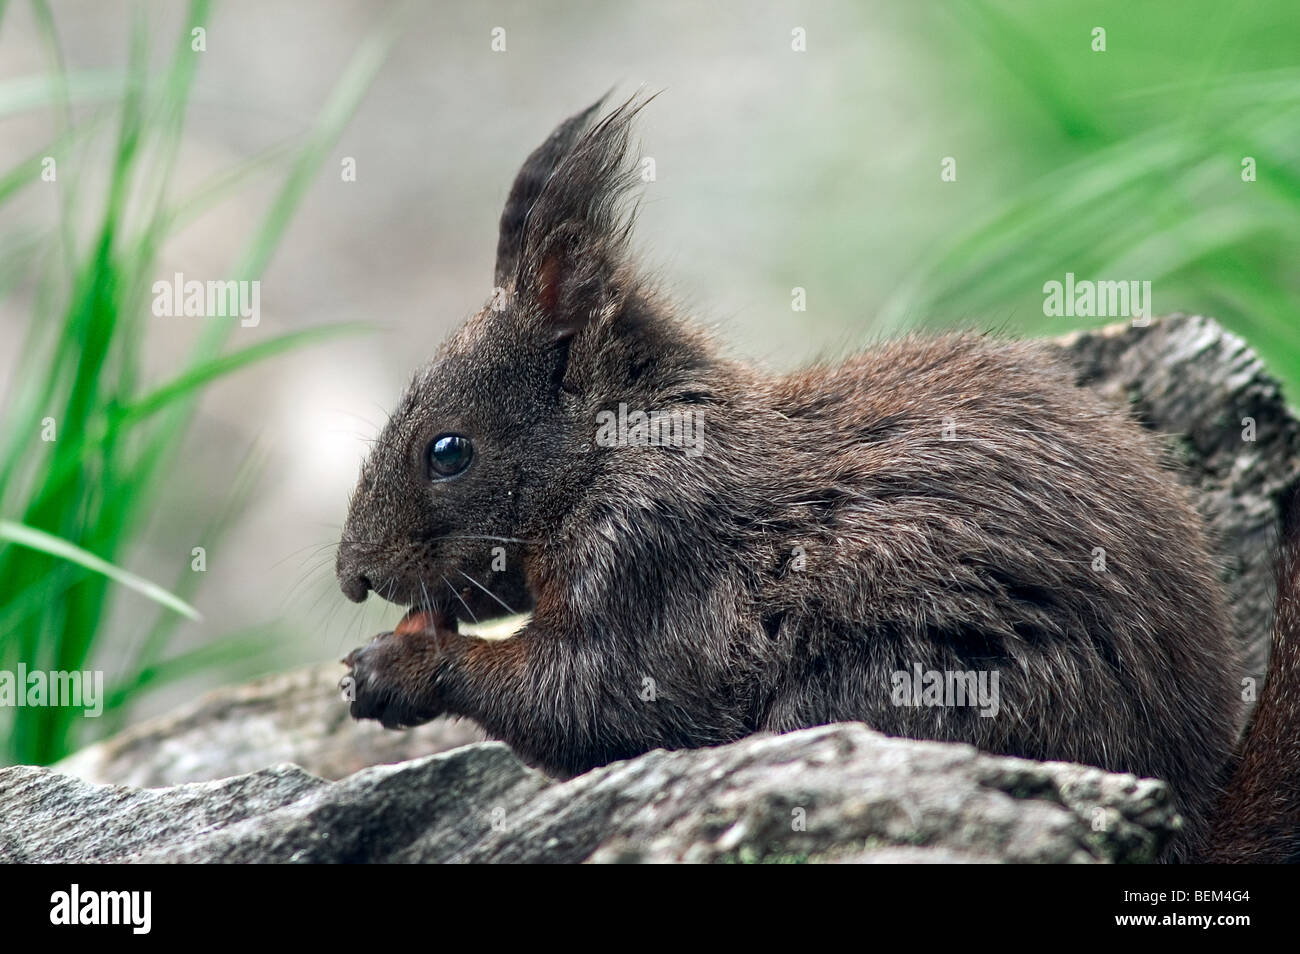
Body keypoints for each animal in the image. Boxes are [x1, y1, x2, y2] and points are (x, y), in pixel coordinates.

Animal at [337, 95, 1300, 863]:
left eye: (447, 450)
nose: (354, 577)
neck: (619, 451)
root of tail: (1189, 808)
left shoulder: (653, 559)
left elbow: (595, 703)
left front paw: (398, 666)